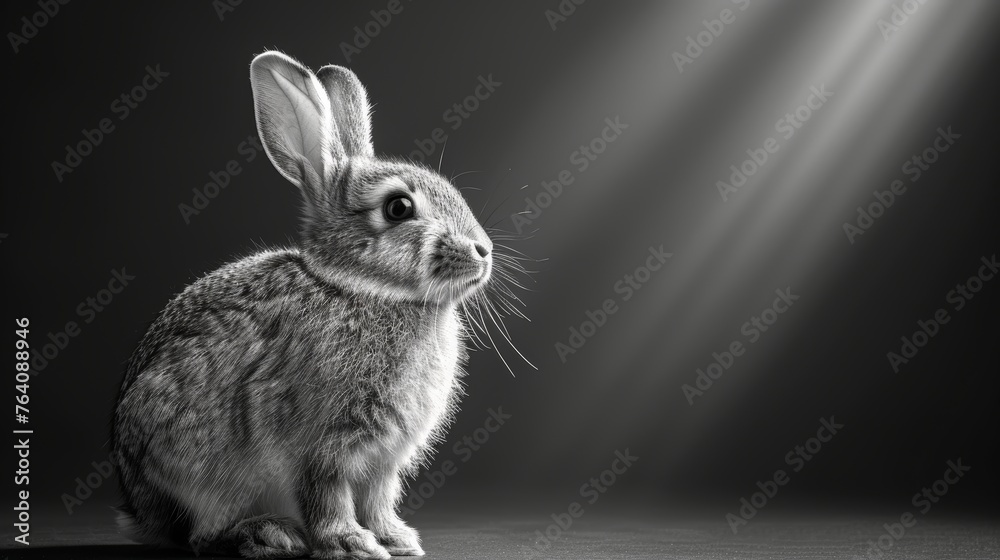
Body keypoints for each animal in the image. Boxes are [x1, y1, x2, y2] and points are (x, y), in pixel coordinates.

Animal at [111, 51, 497, 559]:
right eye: (398, 208)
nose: (483, 251)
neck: (362, 288)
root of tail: (141, 514)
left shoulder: (385, 457)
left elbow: (378, 497)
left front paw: (397, 539)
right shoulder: (320, 446)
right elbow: (326, 494)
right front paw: (352, 544)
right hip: (198, 467)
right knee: (202, 535)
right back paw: (269, 533)